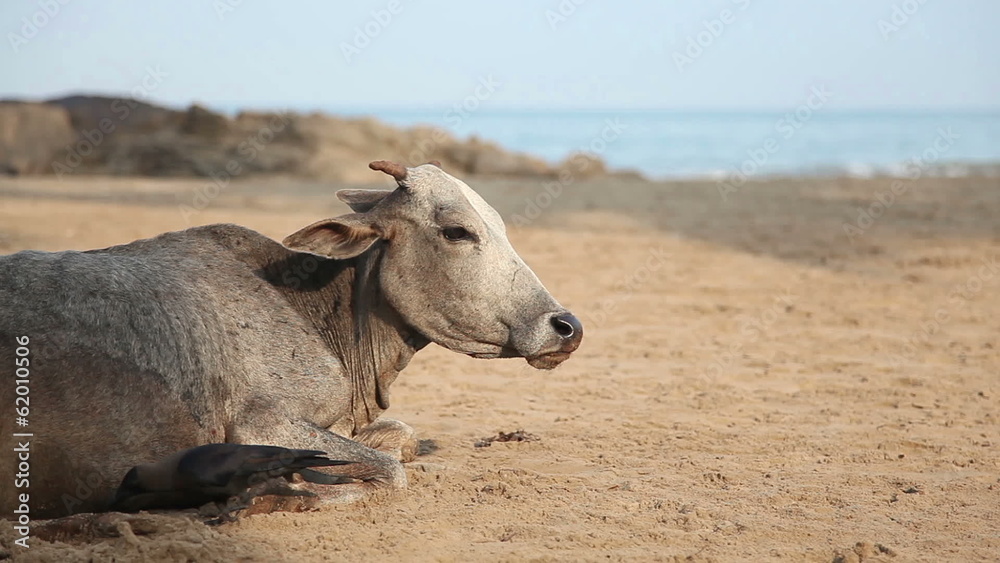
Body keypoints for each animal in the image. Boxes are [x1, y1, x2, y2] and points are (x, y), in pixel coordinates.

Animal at [0, 160, 583, 518]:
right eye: (457, 231)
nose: (566, 327)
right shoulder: (262, 421)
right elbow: (390, 472)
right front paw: (280, 493)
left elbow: (401, 440)